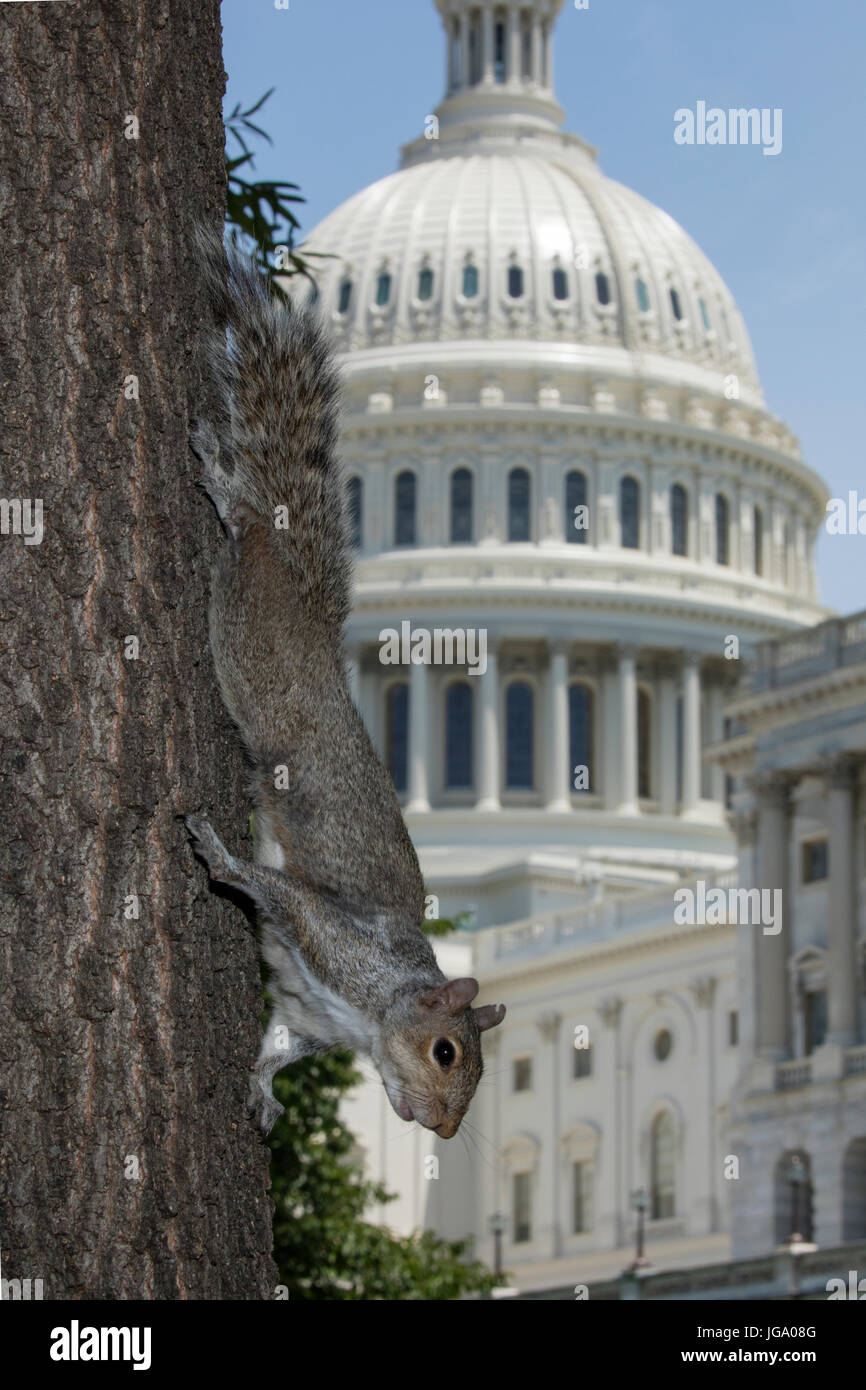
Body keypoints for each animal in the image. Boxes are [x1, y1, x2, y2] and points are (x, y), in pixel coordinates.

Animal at [185, 229, 505, 1139]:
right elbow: (269, 888)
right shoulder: (331, 937)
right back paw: (228, 486)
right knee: (250, 528)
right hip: (254, 644)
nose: (442, 1129)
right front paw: (218, 850)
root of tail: (316, 626)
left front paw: (261, 1090)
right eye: (447, 1052)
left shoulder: (307, 1015)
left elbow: (277, 1045)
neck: (372, 1015)